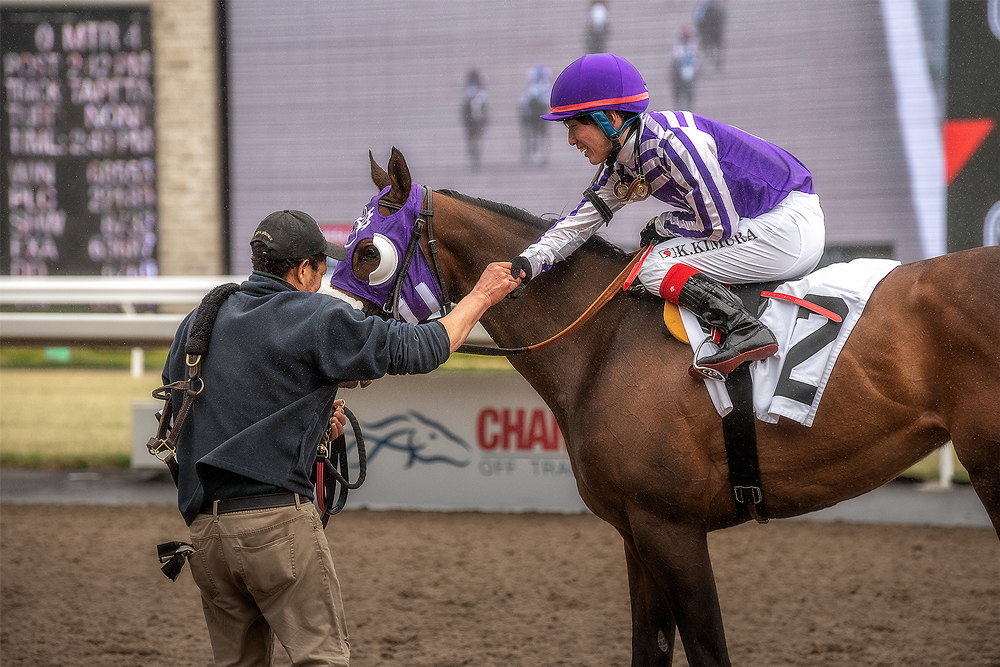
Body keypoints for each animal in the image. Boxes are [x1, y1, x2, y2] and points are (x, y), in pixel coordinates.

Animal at [333, 148, 1000, 667]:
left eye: (366, 252)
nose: (328, 324)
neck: (603, 341)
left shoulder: (671, 526)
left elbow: (707, 648)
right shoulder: (637, 532)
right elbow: (648, 648)